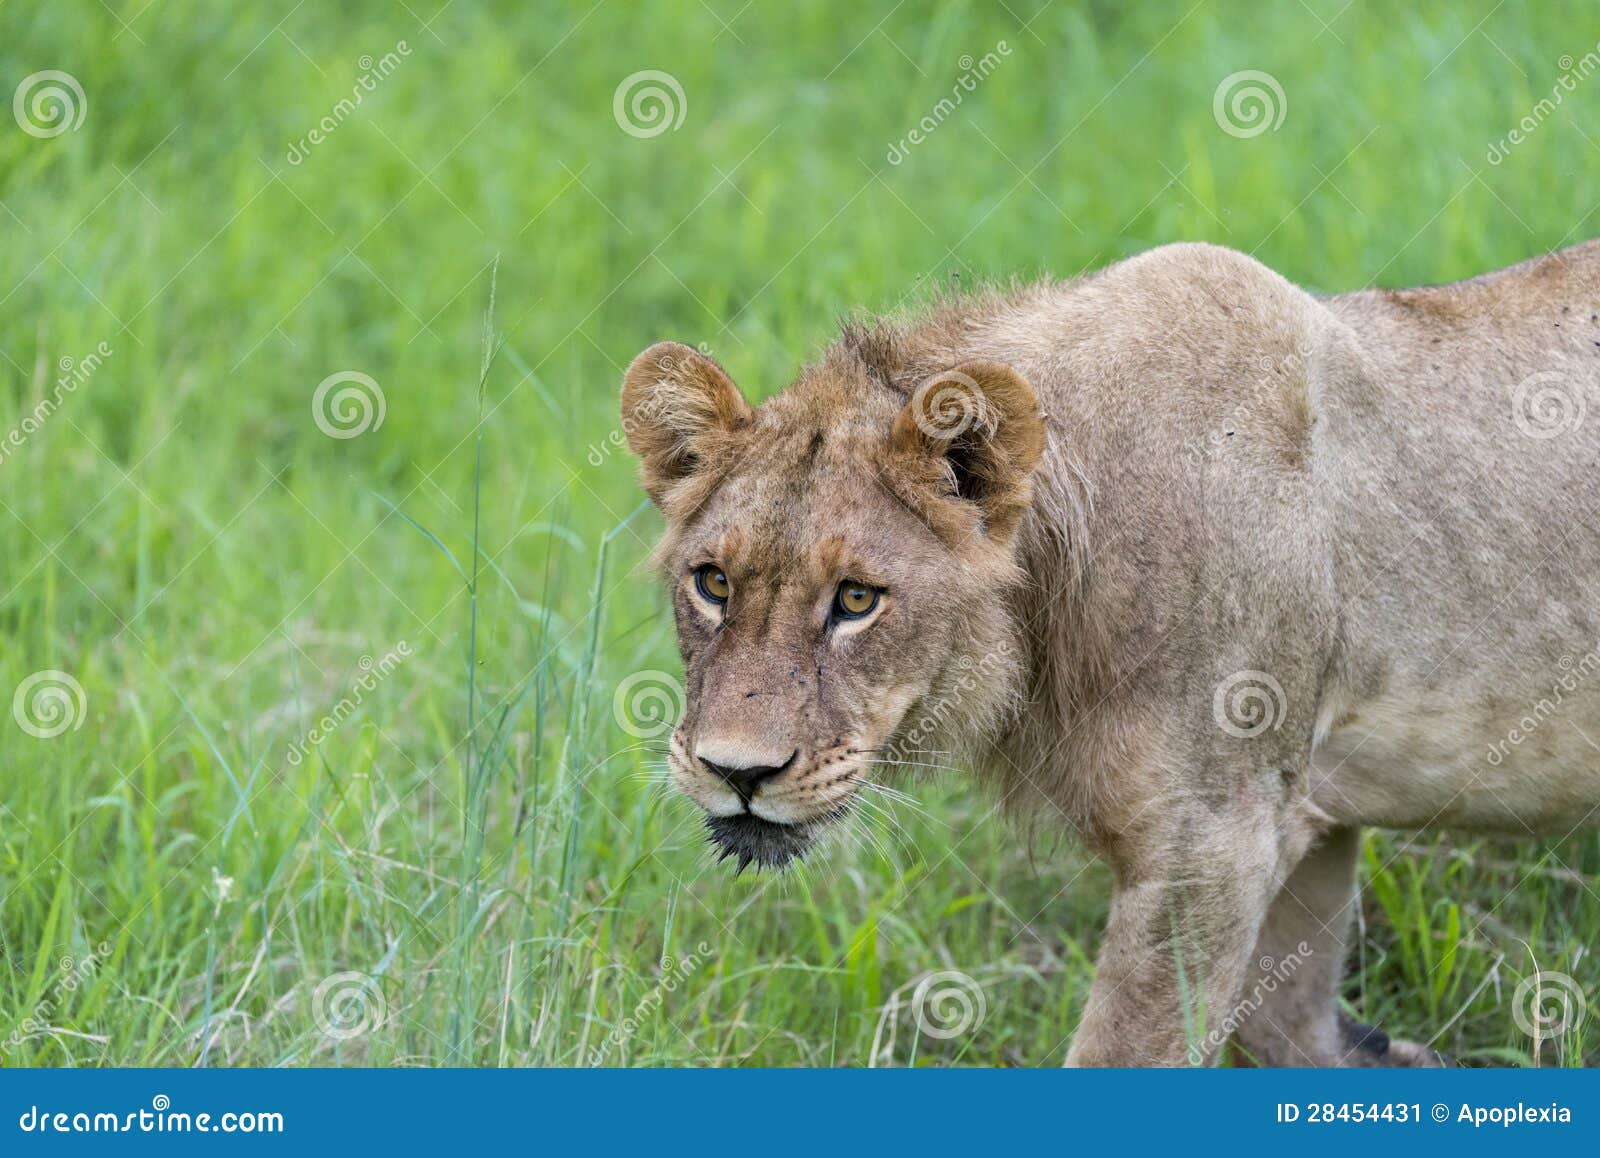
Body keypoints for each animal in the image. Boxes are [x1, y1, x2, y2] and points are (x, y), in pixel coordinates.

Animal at [620, 241, 1600, 1067]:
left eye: (856, 600)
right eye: (713, 582)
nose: (737, 771)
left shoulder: (1216, 838)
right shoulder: (1302, 812)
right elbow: (1287, 1016)